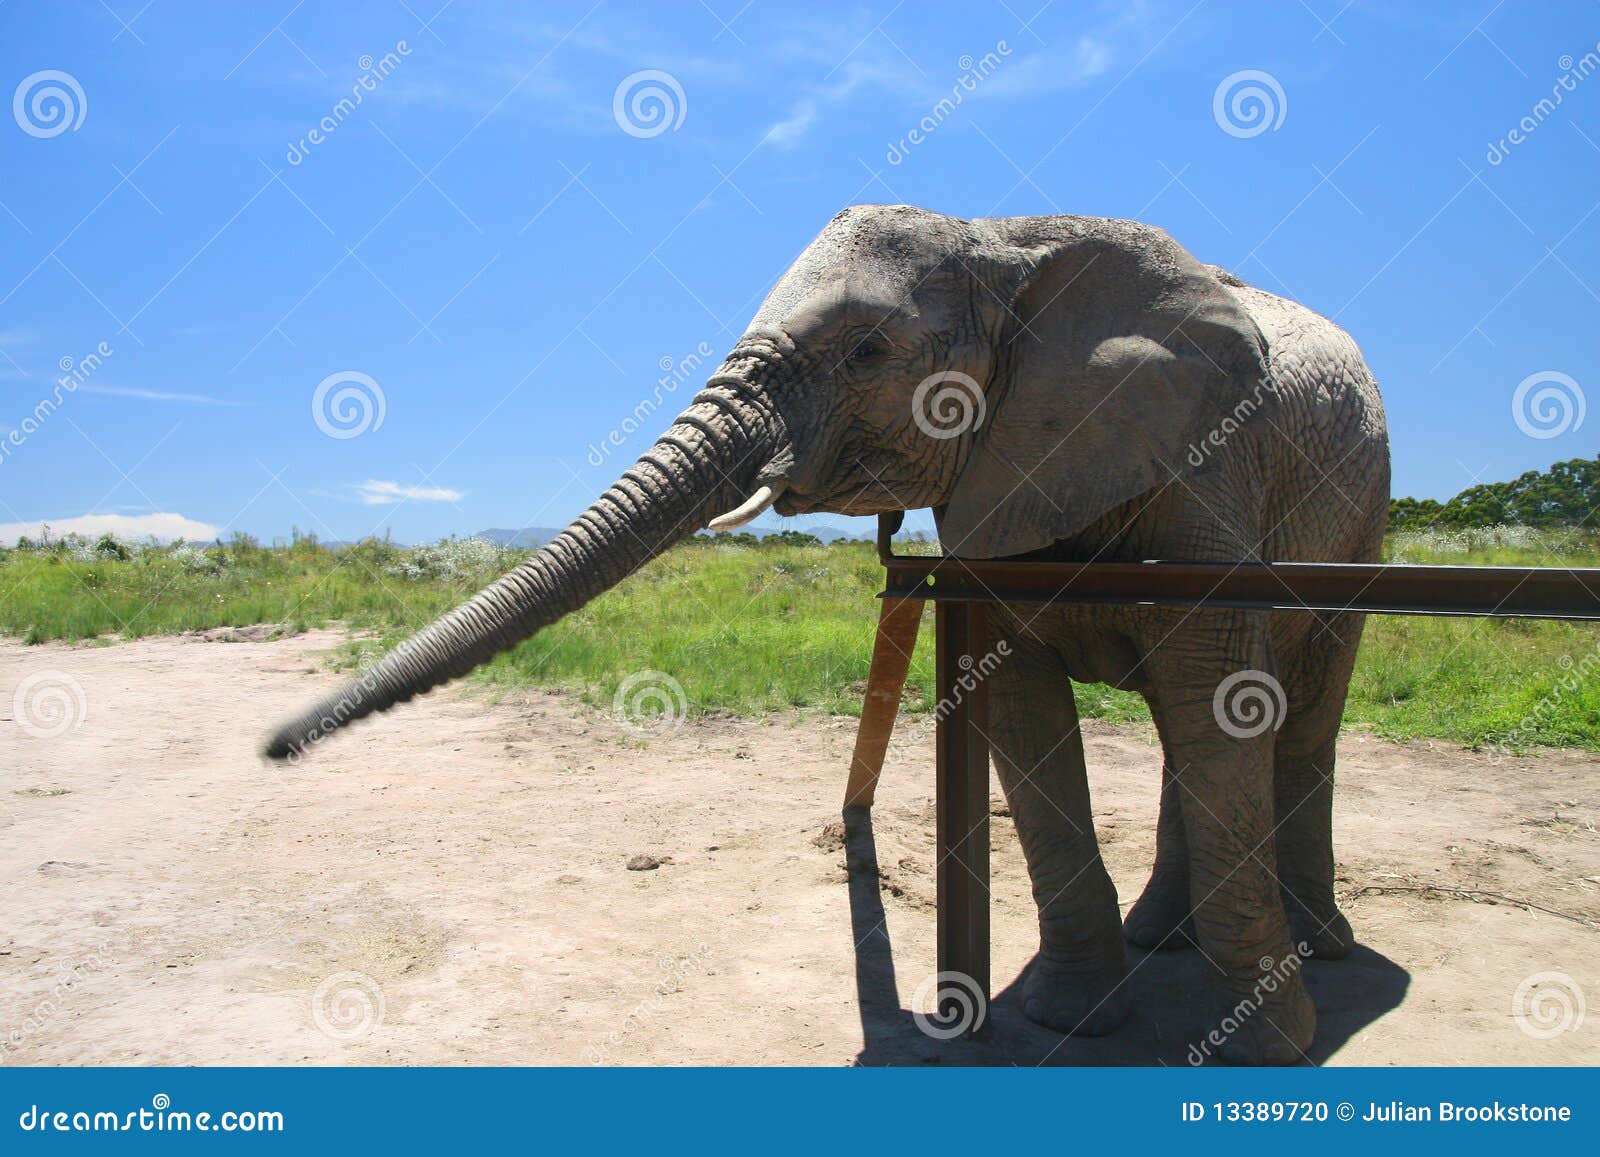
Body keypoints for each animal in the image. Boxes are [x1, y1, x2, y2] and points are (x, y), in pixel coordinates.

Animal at [264, 204, 1389, 1065]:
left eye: (867, 351)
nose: (274, 746)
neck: (1005, 241)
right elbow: (1028, 721)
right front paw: (1066, 1021)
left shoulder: (1205, 467)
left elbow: (1215, 702)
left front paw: (1263, 1048)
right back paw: (1165, 936)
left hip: (1363, 512)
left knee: (1298, 707)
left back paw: (1321, 947)